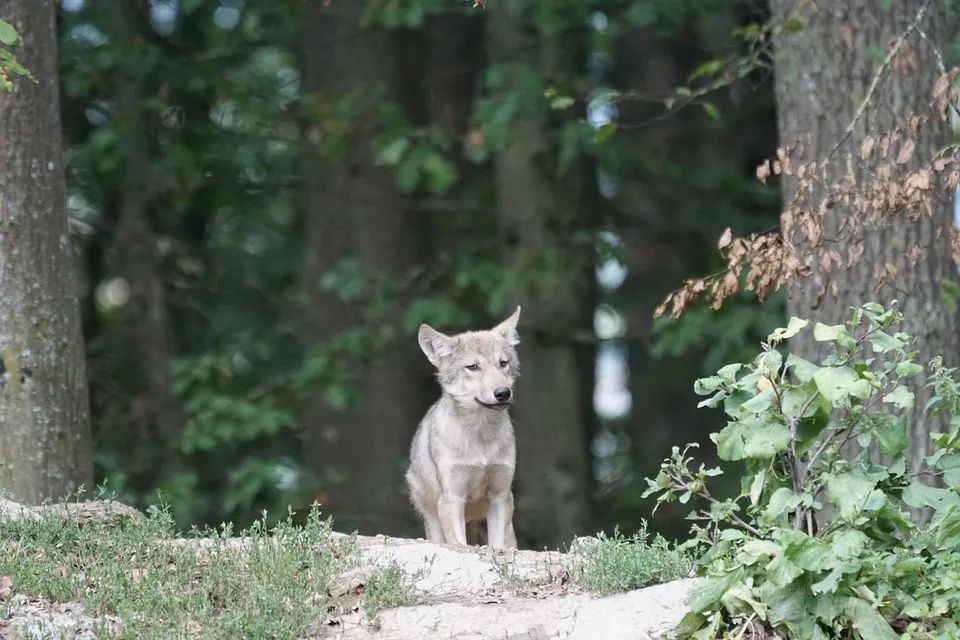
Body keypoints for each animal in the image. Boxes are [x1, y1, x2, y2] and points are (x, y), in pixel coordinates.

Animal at [406, 308, 524, 548]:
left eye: (503, 363)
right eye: (473, 367)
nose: (503, 392)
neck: (481, 436)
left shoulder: (501, 496)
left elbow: (497, 546)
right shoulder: (452, 498)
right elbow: (459, 543)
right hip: (434, 521)